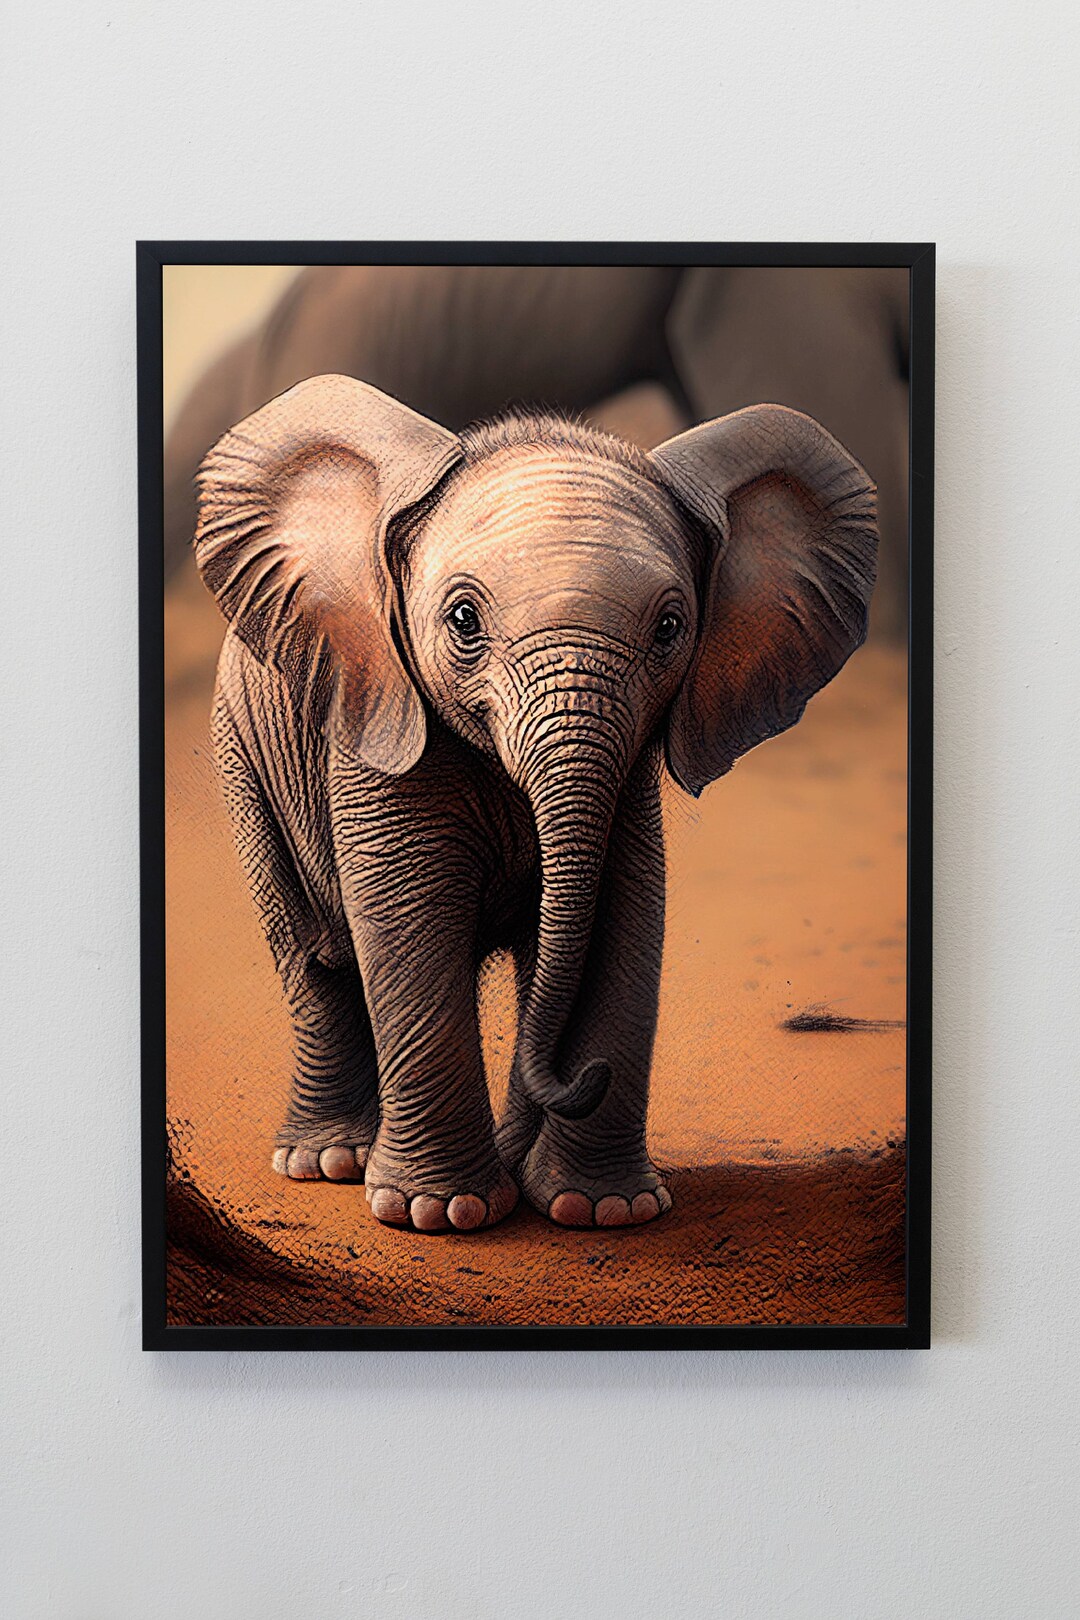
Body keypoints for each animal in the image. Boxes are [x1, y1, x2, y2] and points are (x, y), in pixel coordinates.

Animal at [194, 373, 878, 1233]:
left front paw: (605, 1210)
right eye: (462, 619)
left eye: (670, 627)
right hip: (243, 756)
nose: (578, 1078)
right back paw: (330, 1164)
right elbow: (411, 920)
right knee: (311, 956)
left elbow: (622, 919)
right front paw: (442, 1214)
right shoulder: (377, 721)